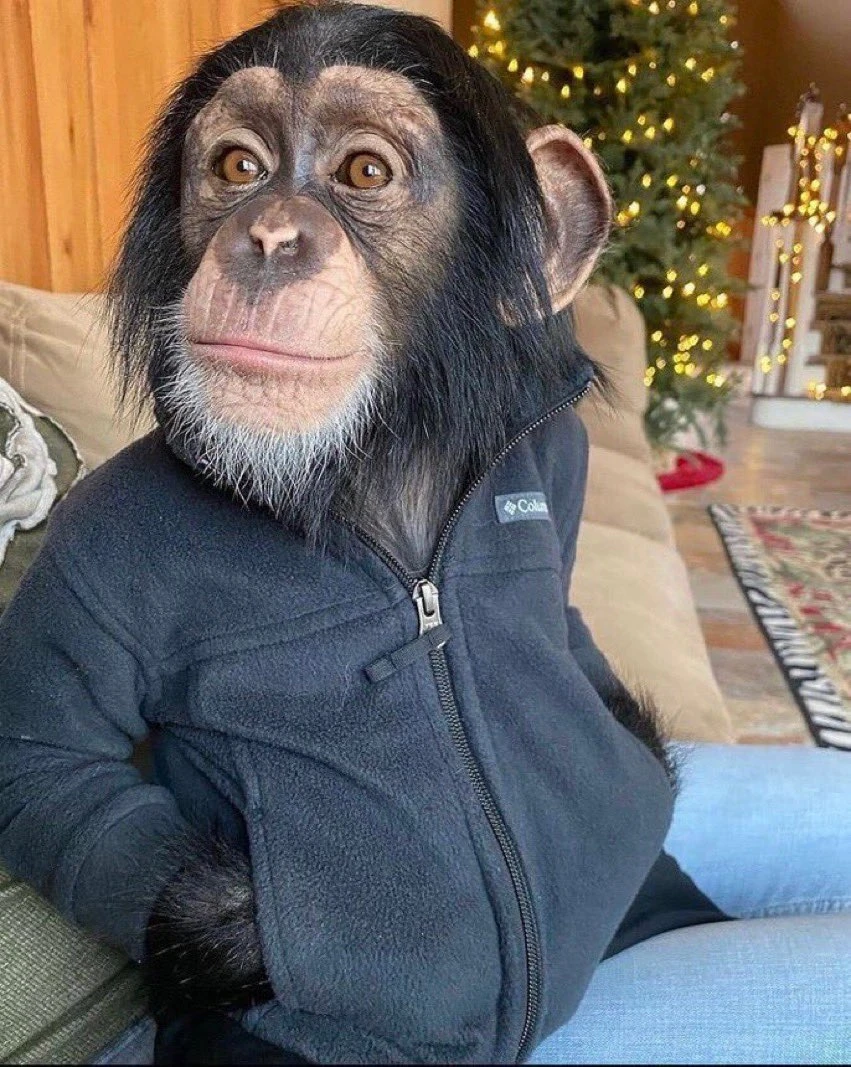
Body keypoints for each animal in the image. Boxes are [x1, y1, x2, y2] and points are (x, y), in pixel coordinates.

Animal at [0, 4, 728, 1064]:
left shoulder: (554, 457)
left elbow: (568, 633)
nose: (267, 234)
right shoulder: (91, 555)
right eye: (235, 166)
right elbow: (46, 760)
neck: (380, 482)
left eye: (364, 173)